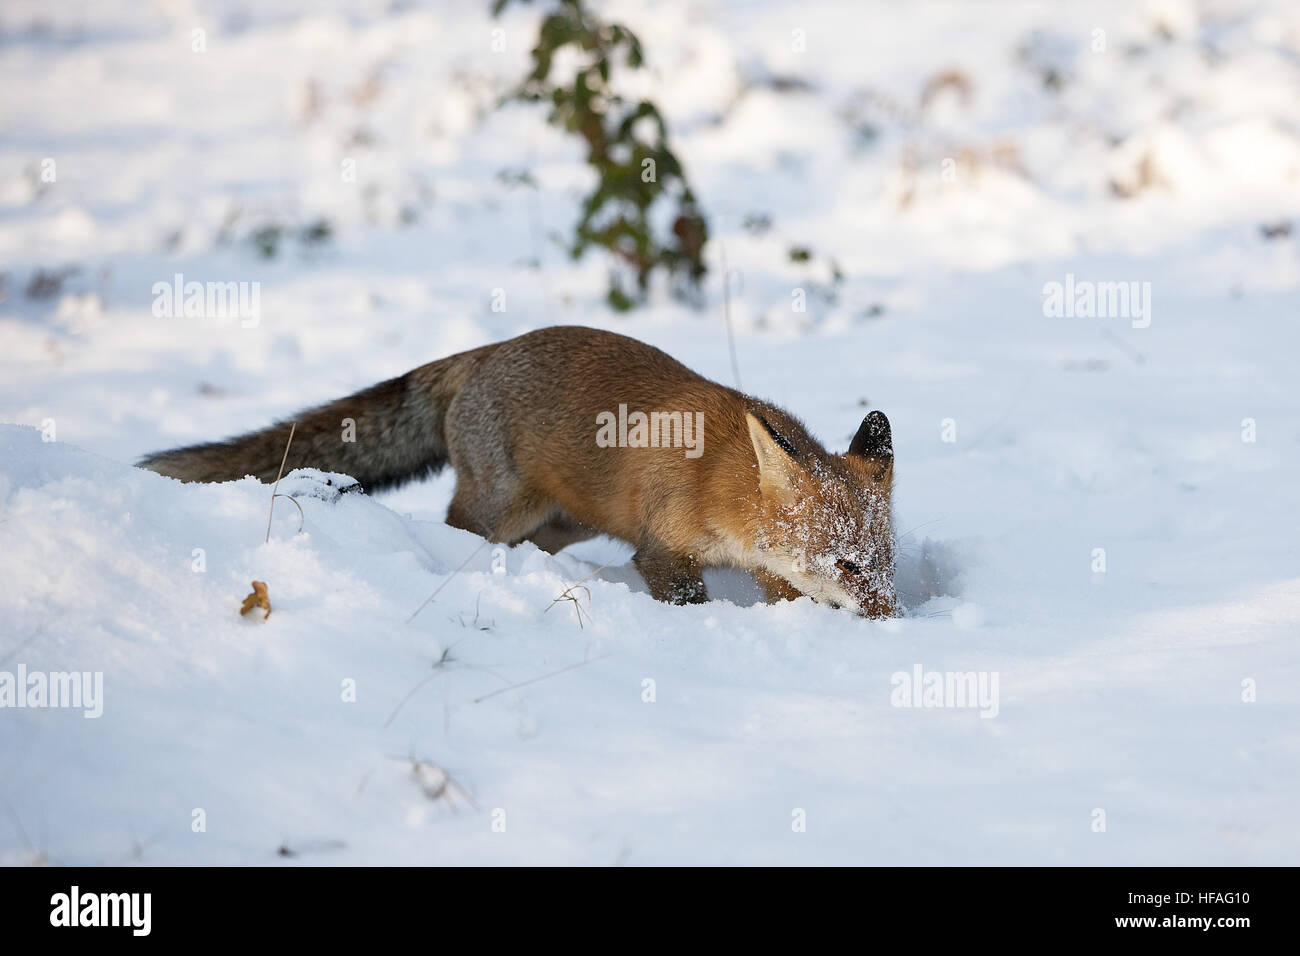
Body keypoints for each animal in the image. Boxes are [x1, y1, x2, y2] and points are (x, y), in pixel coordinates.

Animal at [139, 326, 898, 616]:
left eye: (884, 564)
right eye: (847, 565)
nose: (891, 620)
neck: (721, 479)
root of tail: (480, 351)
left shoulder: (766, 568)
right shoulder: (662, 551)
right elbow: (683, 594)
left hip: (562, 523)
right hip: (499, 508)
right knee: (459, 531)